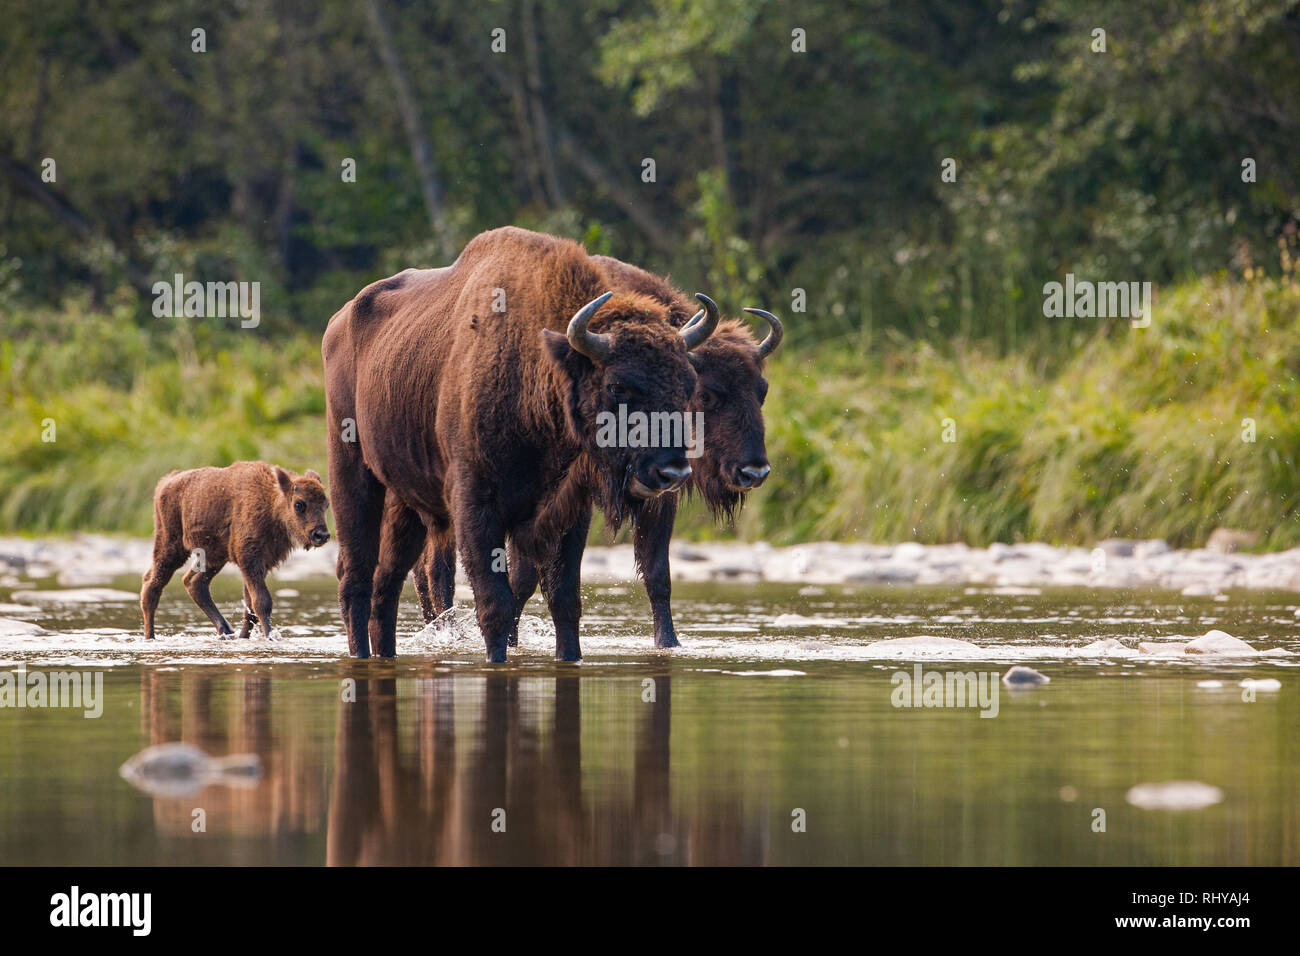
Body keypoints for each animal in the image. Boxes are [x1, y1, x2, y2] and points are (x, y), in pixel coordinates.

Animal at [140, 460, 332, 639]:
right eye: (299, 504)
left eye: (326, 504)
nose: (321, 535)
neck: (270, 501)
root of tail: (166, 481)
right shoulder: (249, 559)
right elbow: (262, 601)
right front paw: (269, 636)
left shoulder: (261, 563)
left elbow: (250, 607)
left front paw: (244, 637)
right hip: (171, 547)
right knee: (152, 585)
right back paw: (150, 636)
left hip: (214, 557)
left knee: (194, 582)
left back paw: (226, 630)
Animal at [319, 227, 717, 660]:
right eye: (617, 385)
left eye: (688, 384)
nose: (672, 471)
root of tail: (338, 322)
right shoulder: (475, 506)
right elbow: (496, 604)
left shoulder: (568, 512)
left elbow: (564, 599)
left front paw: (569, 657)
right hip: (351, 471)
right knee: (355, 575)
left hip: (405, 502)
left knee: (386, 583)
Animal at [405, 252, 780, 650]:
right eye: (707, 394)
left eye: (762, 390)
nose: (754, 471)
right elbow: (522, 576)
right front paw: (511, 639)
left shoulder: (655, 498)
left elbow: (657, 572)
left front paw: (669, 643)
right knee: (436, 568)